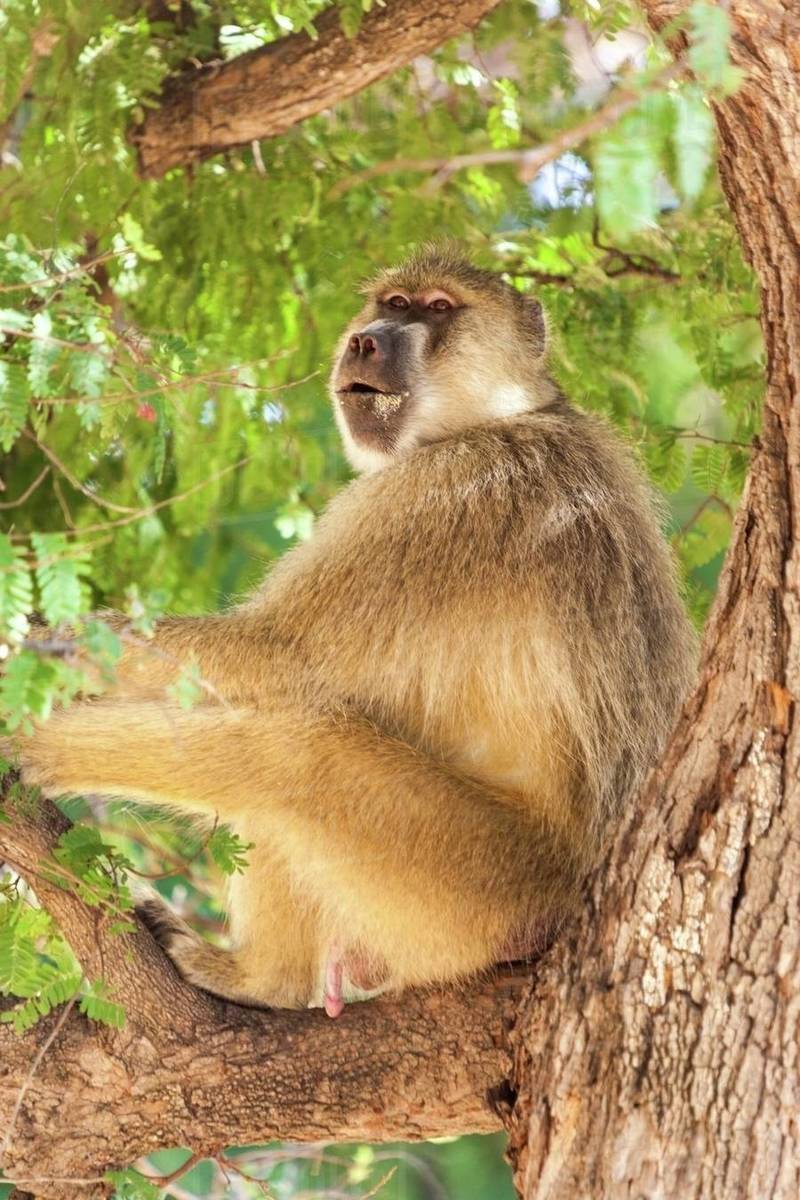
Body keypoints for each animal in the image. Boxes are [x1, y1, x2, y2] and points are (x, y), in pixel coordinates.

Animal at [2, 248, 696, 1017]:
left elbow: (275, 657)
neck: (501, 416)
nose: (367, 339)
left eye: (437, 308)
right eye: (391, 302)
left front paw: (31, 666)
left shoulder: (444, 493)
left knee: (297, 750)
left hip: (489, 888)